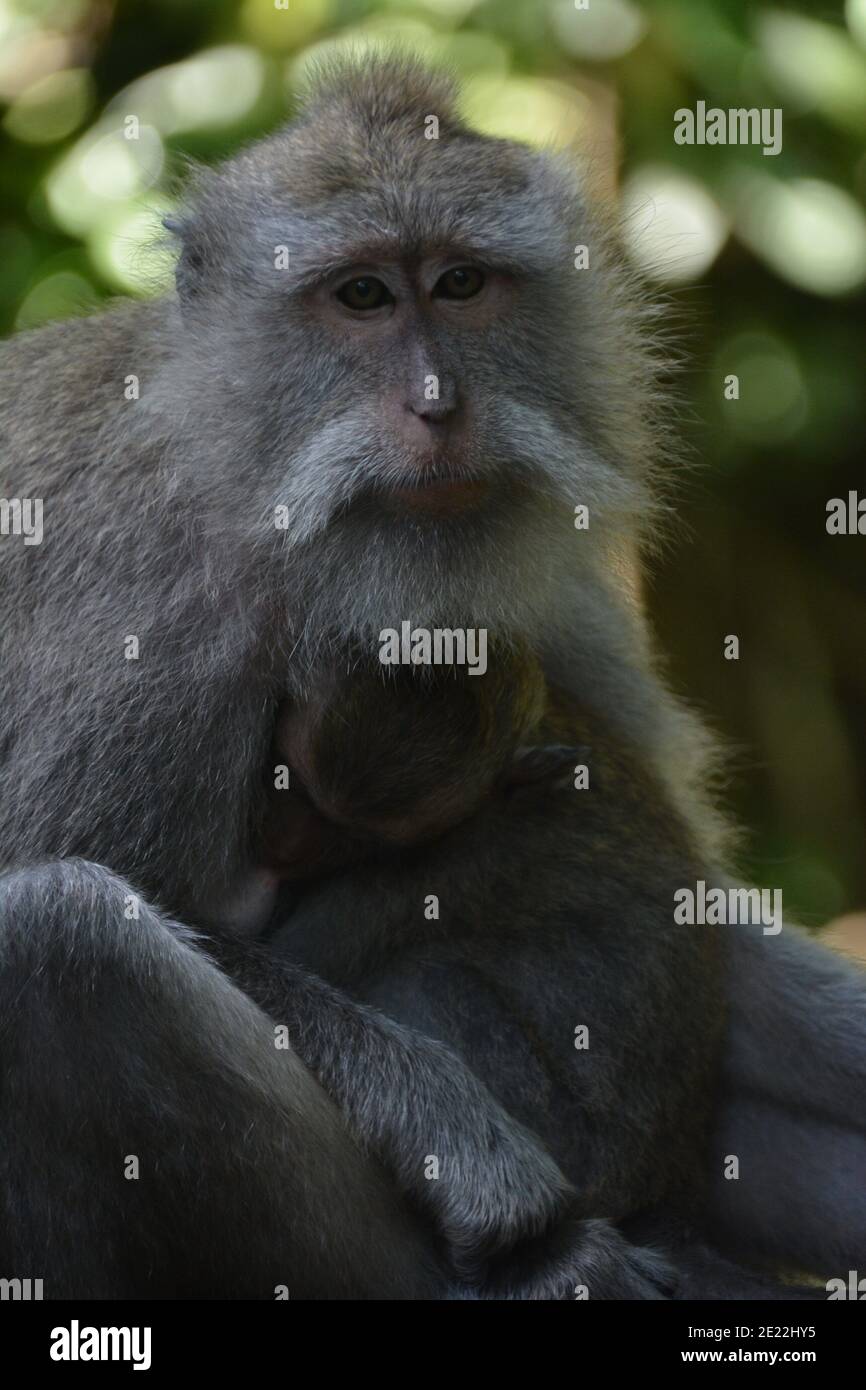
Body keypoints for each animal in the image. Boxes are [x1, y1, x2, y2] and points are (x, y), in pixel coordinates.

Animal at [0, 53, 864, 1297]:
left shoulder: (546, 578)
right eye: (361, 296)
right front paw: (469, 1153)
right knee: (61, 941)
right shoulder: (154, 623)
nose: (437, 406)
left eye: (459, 284)